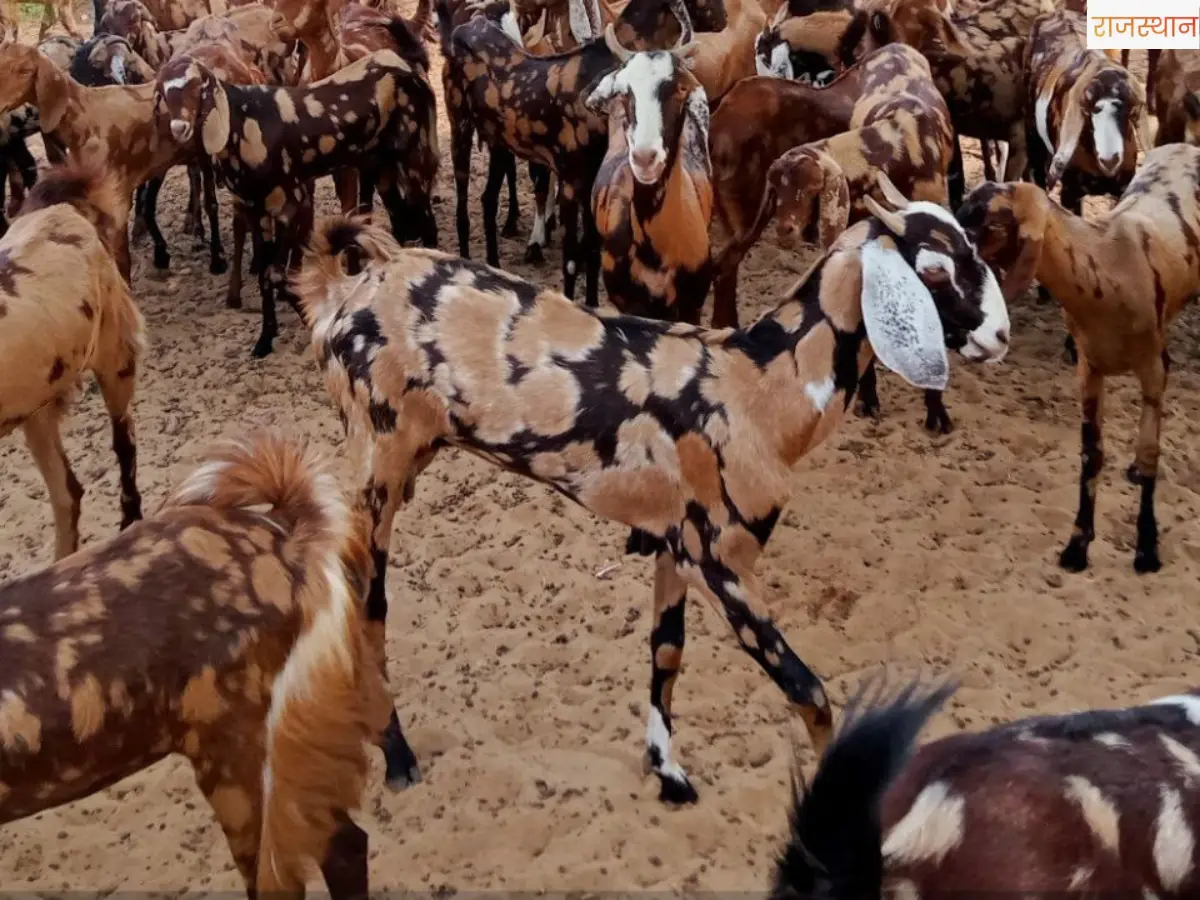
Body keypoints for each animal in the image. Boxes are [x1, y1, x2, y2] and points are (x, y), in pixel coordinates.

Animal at [0, 162, 143, 561]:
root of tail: (59, 208)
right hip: (37, 402)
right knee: (67, 494)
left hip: (115, 350)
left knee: (123, 440)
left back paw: (130, 519)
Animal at [154, 48, 439, 357]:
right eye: (163, 91)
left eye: (198, 86)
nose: (179, 127)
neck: (244, 124)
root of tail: (405, 67)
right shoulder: (257, 209)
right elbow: (265, 273)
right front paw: (265, 338)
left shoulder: (292, 203)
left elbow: (278, 273)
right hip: (382, 166)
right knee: (401, 223)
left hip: (413, 157)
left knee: (427, 222)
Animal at [291, 186, 1009, 802]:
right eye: (936, 270)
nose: (998, 337)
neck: (760, 387)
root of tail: (345, 289)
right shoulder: (721, 558)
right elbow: (808, 692)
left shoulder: (674, 541)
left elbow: (667, 651)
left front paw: (667, 772)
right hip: (376, 466)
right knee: (366, 607)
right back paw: (396, 754)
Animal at [956, 143, 1200, 573]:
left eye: (994, 223)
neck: (1107, 264)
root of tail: (1185, 145)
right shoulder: (1089, 369)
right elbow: (1091, 455)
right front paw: (1077, 544)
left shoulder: (1150, 371)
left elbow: (1149, 451)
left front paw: (1147, 549)